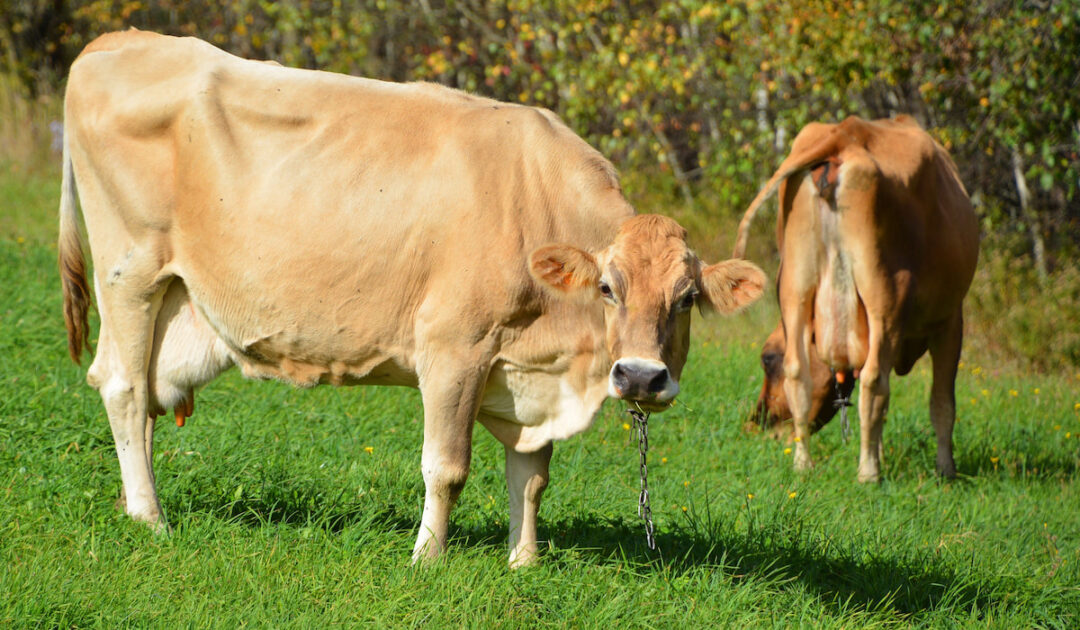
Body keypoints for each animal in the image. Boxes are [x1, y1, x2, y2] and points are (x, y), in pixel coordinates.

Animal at [59, 31, 767, 567]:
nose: (642, 377)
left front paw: (524, 562)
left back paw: (135, 501)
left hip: (174, 299)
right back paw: (150, 518)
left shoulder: (528, 374)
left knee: (144, 400)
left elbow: (532, 477)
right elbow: (446, 468)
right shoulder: (454, 349)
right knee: (123, 387)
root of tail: (118, 40)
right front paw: (428, 557)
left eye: (686, 299)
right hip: (130, 272)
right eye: (607, 287)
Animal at [732, 115, 978, 482]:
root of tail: (844, 133)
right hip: (884, 295)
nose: (758, 425)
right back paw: (868, 473)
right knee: (875, 381)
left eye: (766, 359)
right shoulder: (949, 319)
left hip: (795, 284)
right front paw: (946, 470)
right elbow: (942, 402)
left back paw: (803, 464)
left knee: (798, 372)